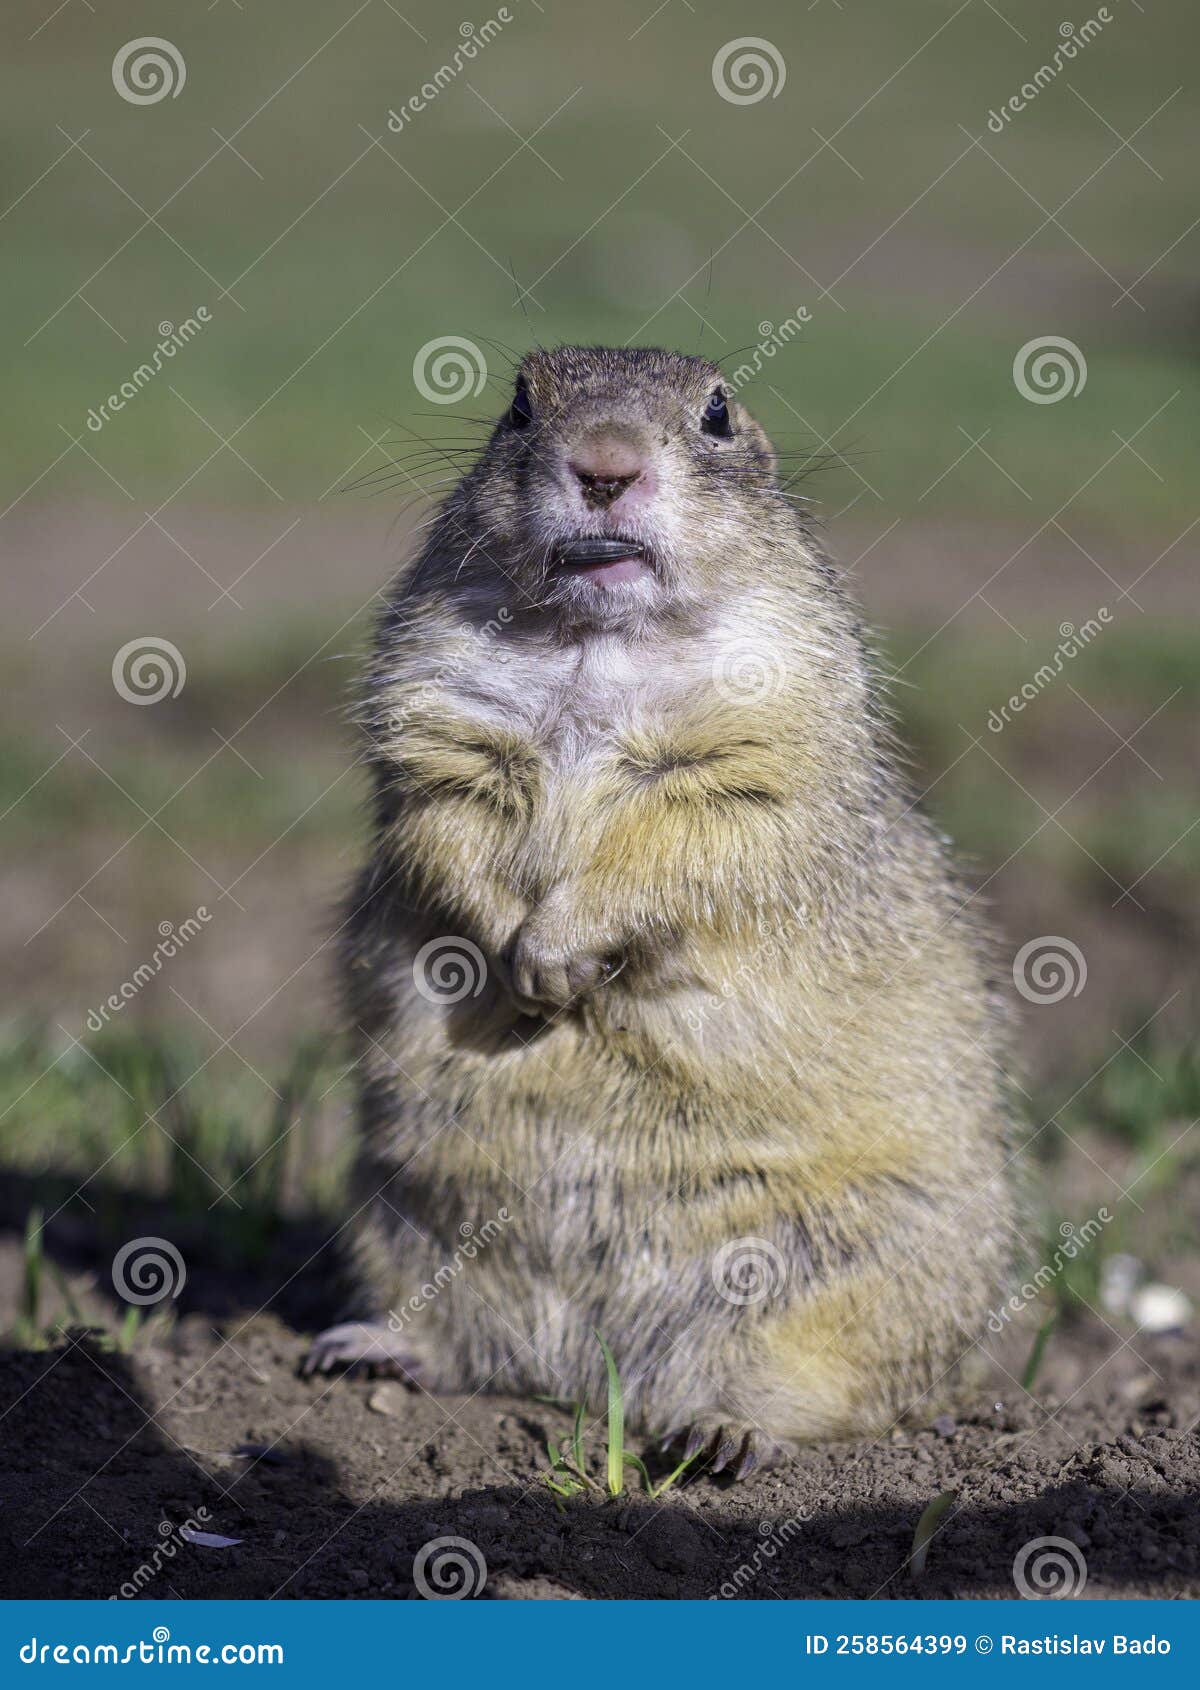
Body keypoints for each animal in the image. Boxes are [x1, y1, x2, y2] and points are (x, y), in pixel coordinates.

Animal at [303, 345, 1017, 1480]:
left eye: (718, 410)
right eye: (519, 403)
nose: (605, 463)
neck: (599, 644)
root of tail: (586, 1373)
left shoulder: (771, 717)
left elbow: (700, 830)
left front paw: (552, 955)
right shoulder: (433, 699)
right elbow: (444, 806)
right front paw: (511, 958)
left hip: (859, 1273)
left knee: (823, 1388)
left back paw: (725, 1430)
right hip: (394, 1213)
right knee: (468, 1345)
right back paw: (372, 1348)